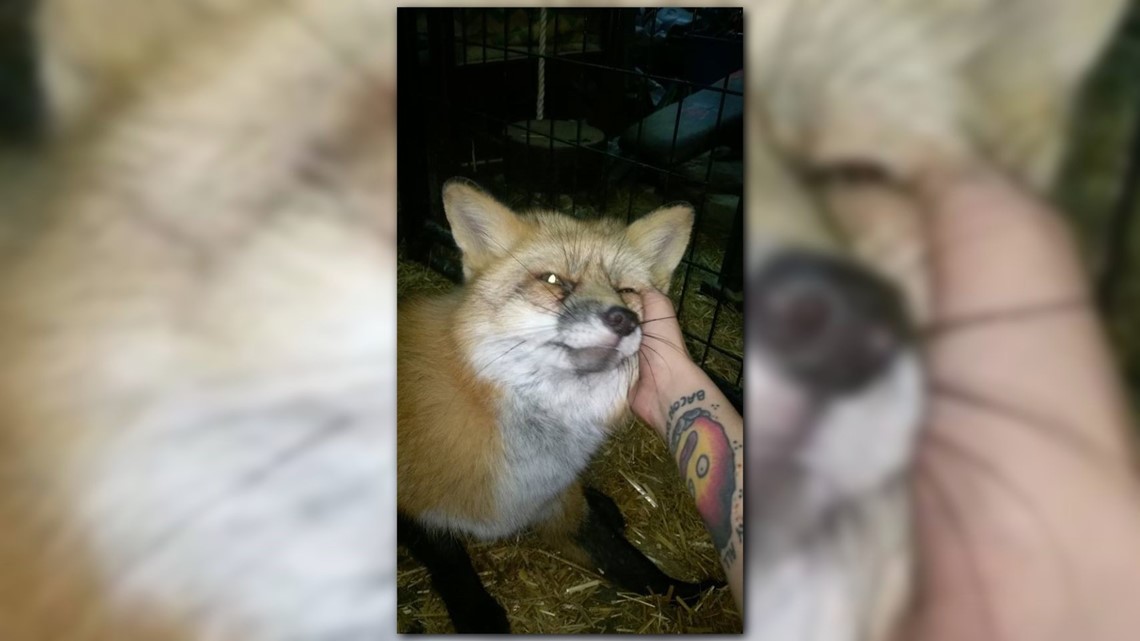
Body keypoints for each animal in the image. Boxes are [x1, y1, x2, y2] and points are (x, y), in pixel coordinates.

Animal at [397, 179, 718, 632]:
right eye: (553, 280)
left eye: (626, 291)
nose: (624, 319)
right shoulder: (414, 507)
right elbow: (452, 566)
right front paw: (480, 616)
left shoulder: (559, 505)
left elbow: (633, 564)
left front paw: (692, 595)